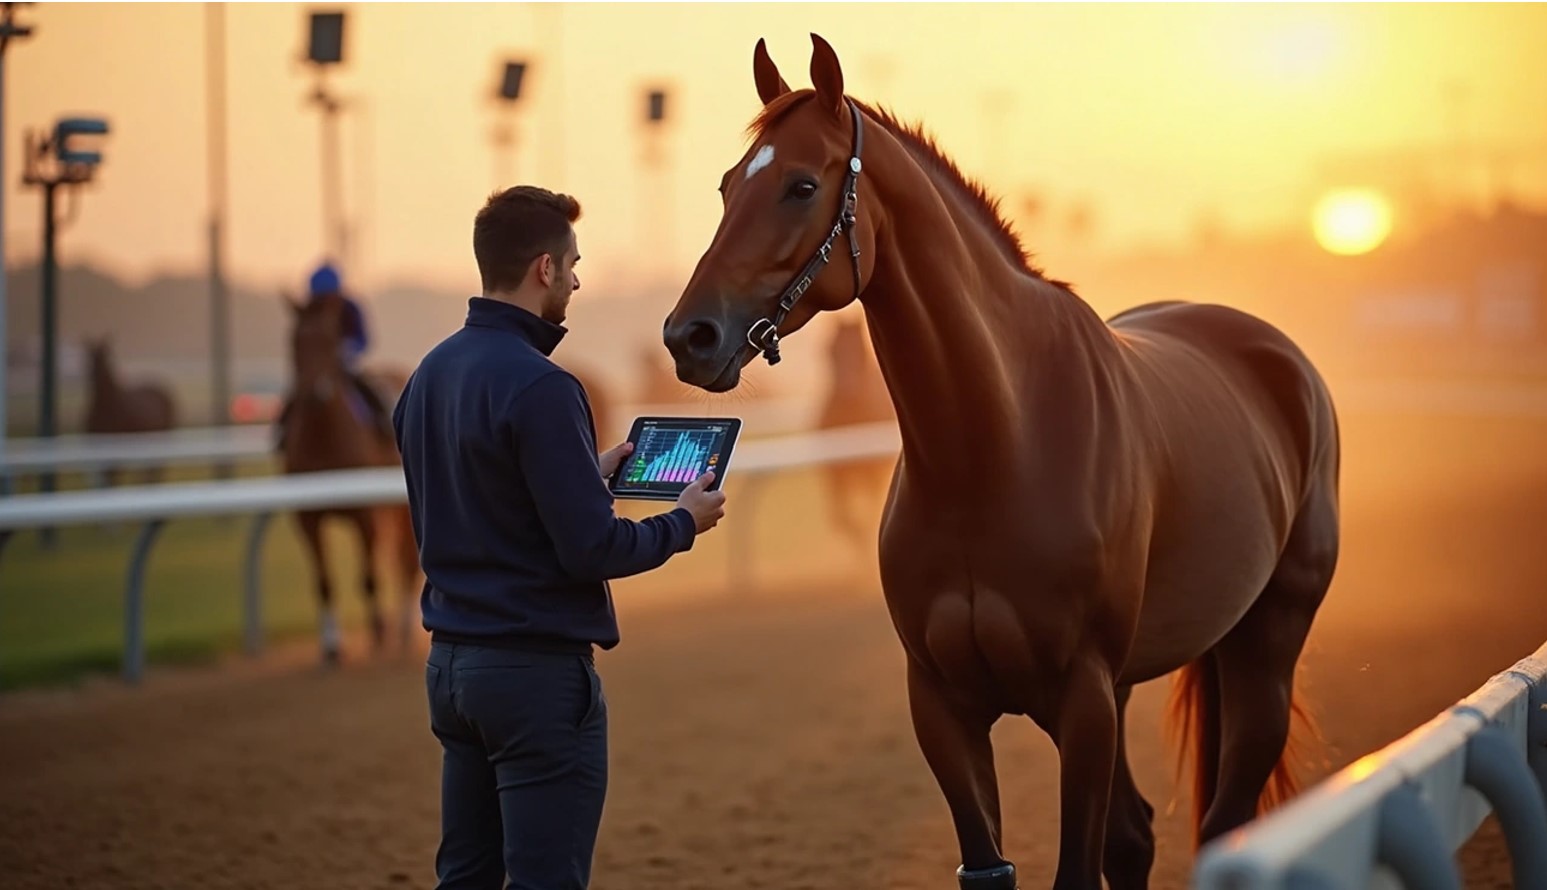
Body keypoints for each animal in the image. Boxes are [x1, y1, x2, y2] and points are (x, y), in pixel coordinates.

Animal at [280, 291, 421, 665]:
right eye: (295, 341)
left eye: (330, 341)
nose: (315, 393)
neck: (325, 438)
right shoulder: (307, 518)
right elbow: (324, 582)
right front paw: (331, 646)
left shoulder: (366, 514)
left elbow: (369, 578)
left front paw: (379, 632)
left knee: (407, 563)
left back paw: (403, 628)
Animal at [815, 315, 896, 560]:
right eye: (830, 351)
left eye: (860, 349)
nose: (845, 393)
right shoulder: (836, 476)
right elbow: (842, 519)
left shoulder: (874, 474)